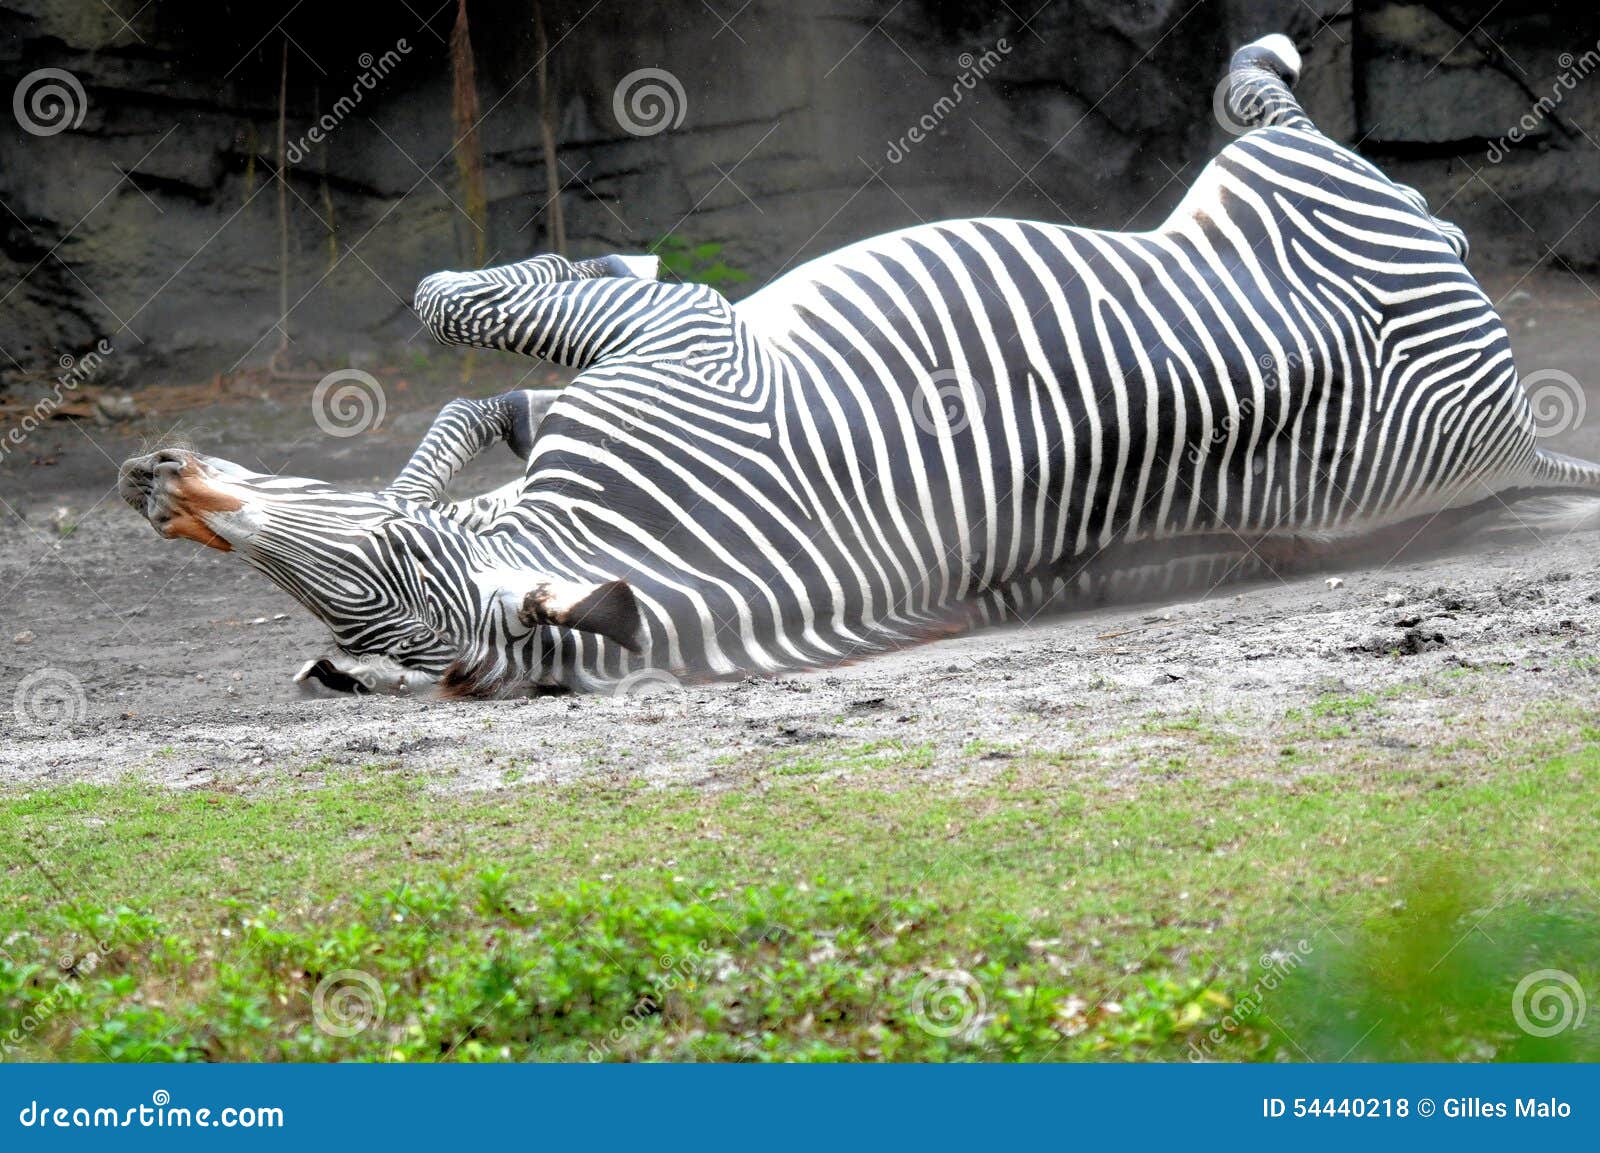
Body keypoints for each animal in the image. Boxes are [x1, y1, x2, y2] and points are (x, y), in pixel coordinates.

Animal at [120, 34, 1600, 696]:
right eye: (349, 625)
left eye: (371, 571)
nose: (148, 478)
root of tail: (1516, 436)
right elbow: (481, 388)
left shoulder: (679, 341)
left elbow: (461, 311)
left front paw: (583, 279)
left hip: (1281, 171)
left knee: (1262, 92)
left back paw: (1267, 52)